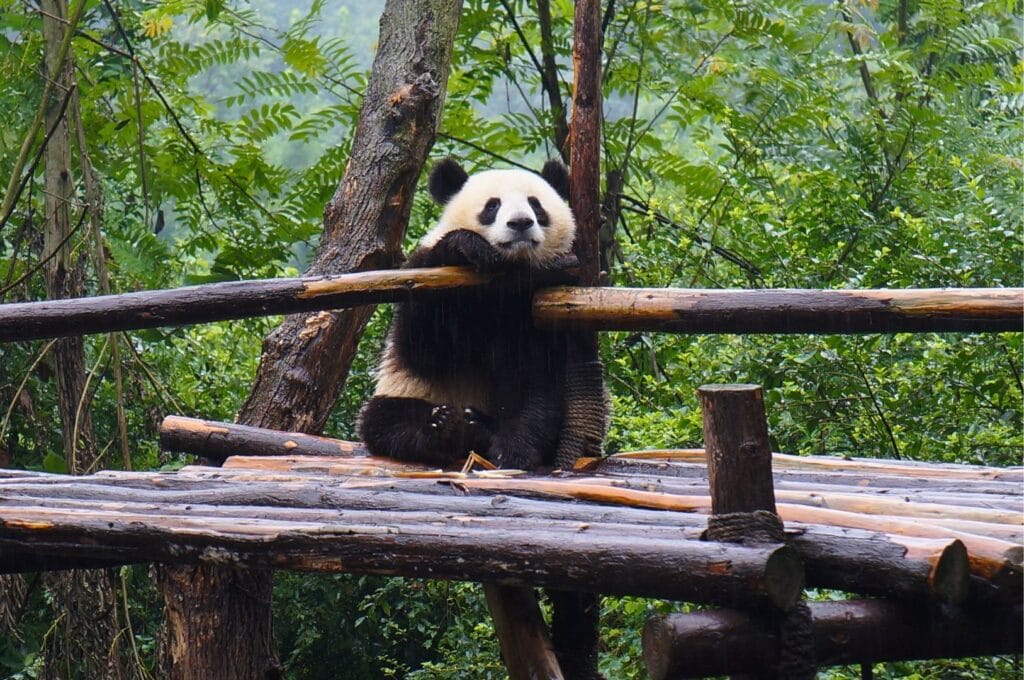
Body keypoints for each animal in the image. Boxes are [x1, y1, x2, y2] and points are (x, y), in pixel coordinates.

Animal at [357, 157, 576, 470]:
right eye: (492, 206)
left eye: (536, 205)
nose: (520, 223)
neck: (506, 273)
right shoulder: (426, 274)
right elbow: (423, 350)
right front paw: (465, 247)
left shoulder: (542, 300)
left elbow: (535, 384)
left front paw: (513, 450)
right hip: (406, 390)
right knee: (385, 418)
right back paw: (442, 429)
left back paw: (478, 428)